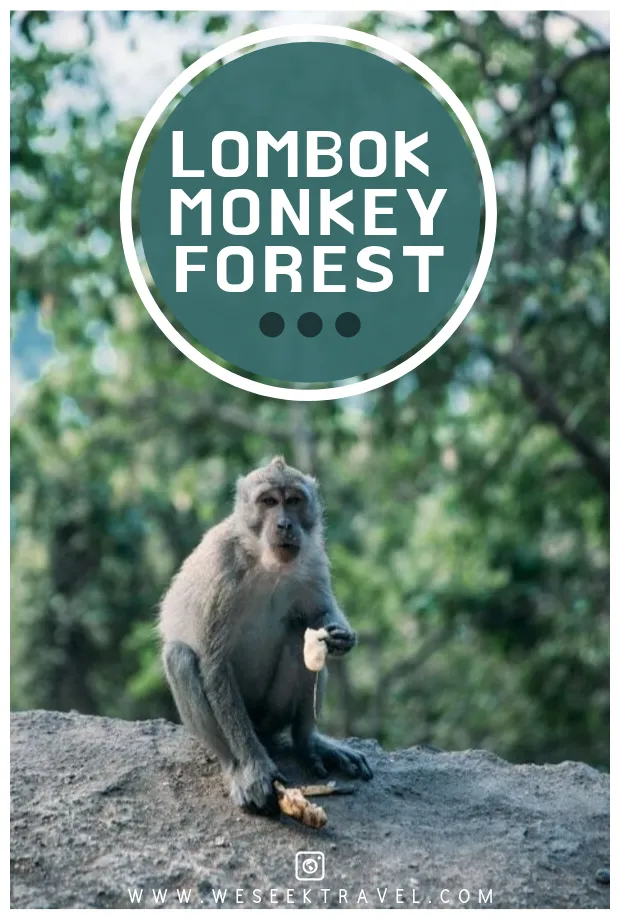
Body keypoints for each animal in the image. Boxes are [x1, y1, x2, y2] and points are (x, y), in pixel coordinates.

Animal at [159, 456, 372, 816]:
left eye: (294, 501)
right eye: (269, 502)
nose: (285, 525)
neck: (266, 564)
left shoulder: (313, 557)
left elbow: (318, 616)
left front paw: (341, 637)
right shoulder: (221, 569)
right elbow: (215, 667)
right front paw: (255, 769)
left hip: (274, 714)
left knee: (298, 633)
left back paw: (308, 742)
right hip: (250, 723)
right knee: (180, 656)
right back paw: (235, 767)